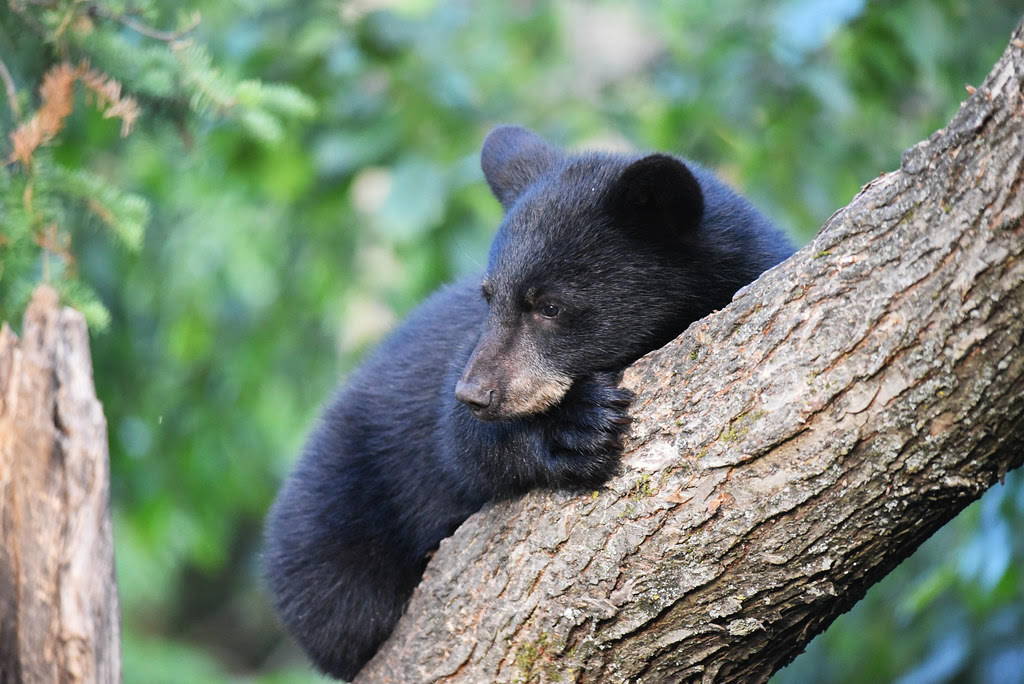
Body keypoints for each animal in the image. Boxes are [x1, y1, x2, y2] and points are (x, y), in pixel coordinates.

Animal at [263, 125, 794, 680]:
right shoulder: (467, 356)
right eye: (488, 296)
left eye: (550, 306)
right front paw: (573, 426)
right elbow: (459, 443)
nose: (474, 394)